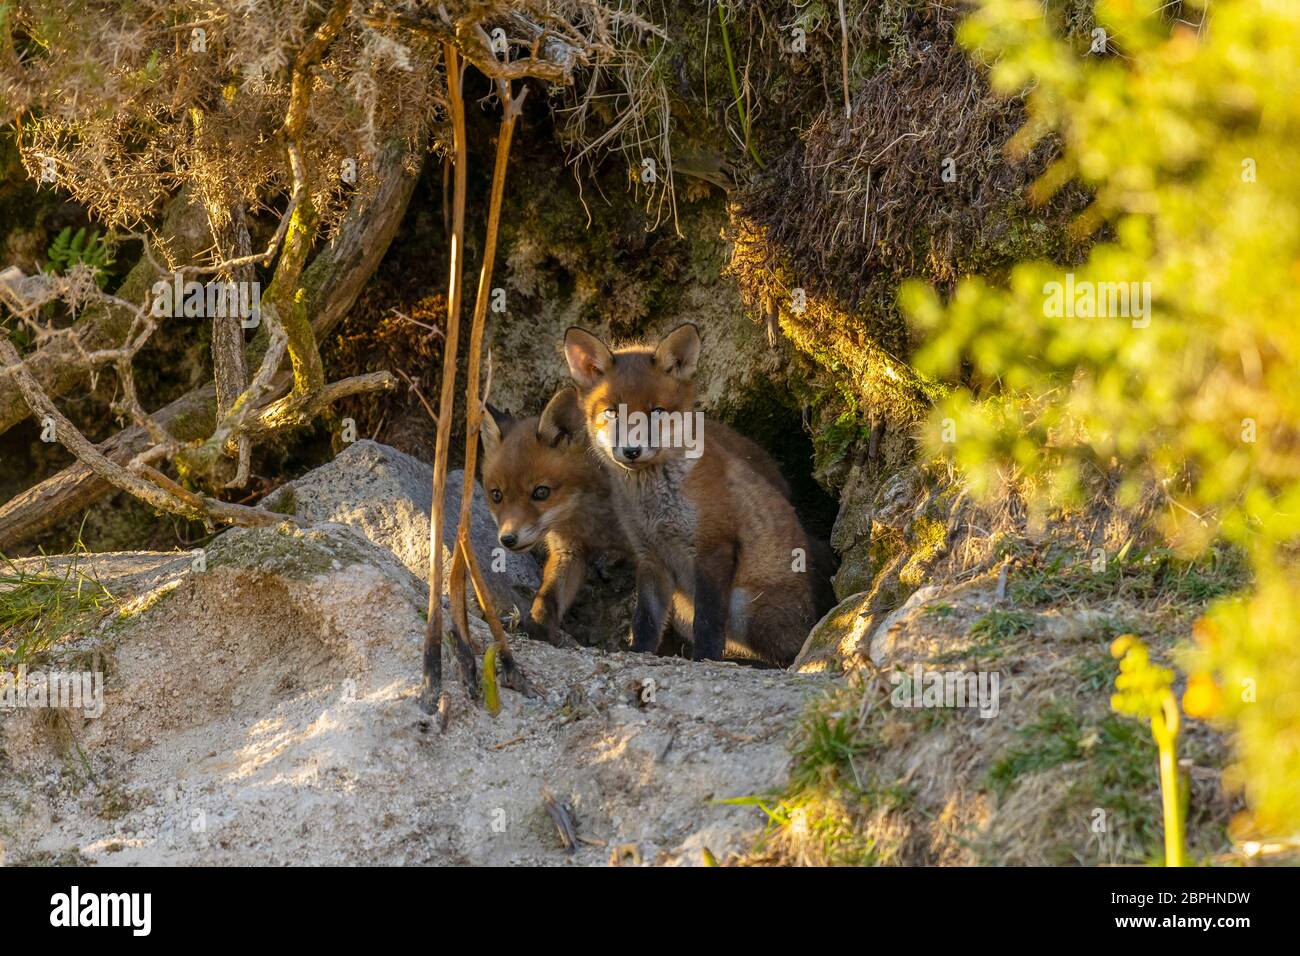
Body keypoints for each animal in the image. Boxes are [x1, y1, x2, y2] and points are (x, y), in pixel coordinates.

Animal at [479, 386, 629, 647]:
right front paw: (537, 628)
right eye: (496, 495)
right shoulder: (568, 550)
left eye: (541, 492)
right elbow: (547, 598)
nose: (508, 539)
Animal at [563, 322, 836, 666]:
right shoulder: (650, 556)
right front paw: (639, 652)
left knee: (788, 655)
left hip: (744, 604)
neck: (655, 507)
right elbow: (645, 621)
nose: (632, 451)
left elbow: (708, 620)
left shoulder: (713, 546)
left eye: (657, 411)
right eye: (612, 412)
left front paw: (705, 657)